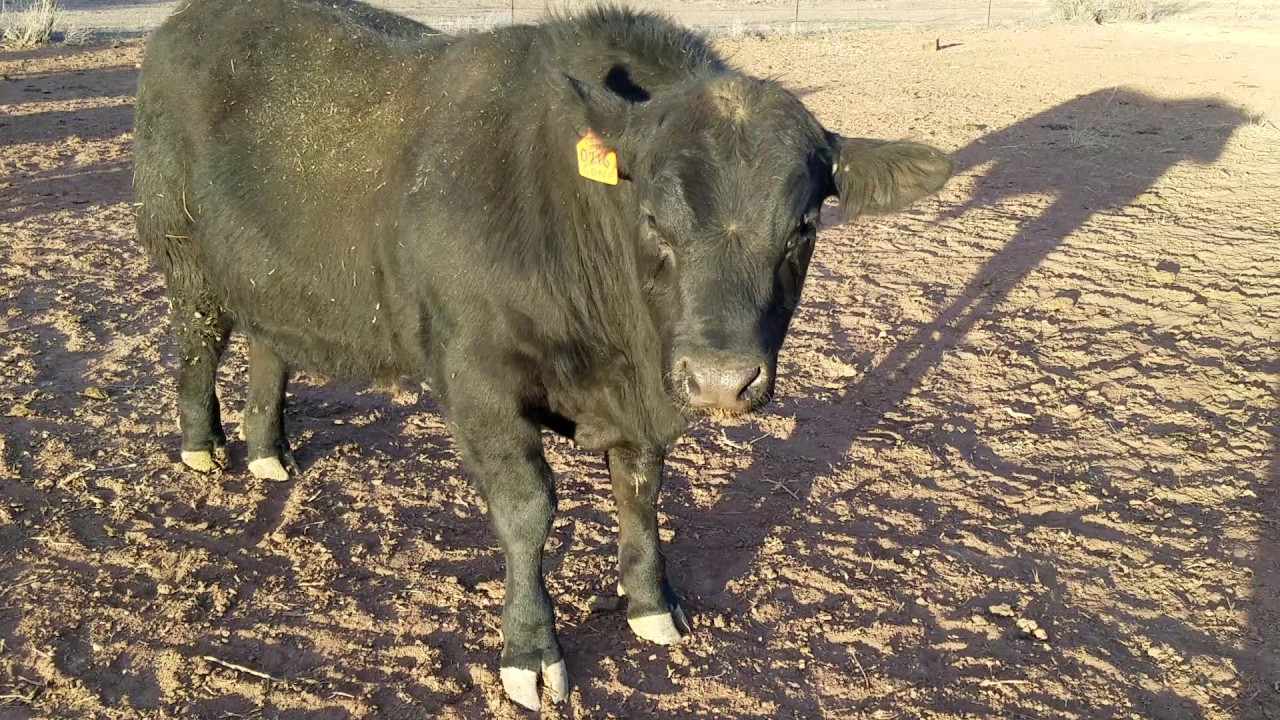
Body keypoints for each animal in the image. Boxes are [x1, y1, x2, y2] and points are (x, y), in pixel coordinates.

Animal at [132, 0, 954, 710]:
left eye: (804, 226)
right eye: (653, 219)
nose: (723, 381)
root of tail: (185, 24)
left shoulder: (641, 400)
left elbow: (640, 491)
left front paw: (651, 603)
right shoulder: (479, 379)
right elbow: (528, 510)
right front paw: (530, 652)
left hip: (271, 277)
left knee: (268, 349)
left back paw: (269, 451)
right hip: (184, 256)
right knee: (198, 344)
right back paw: (202, 445)